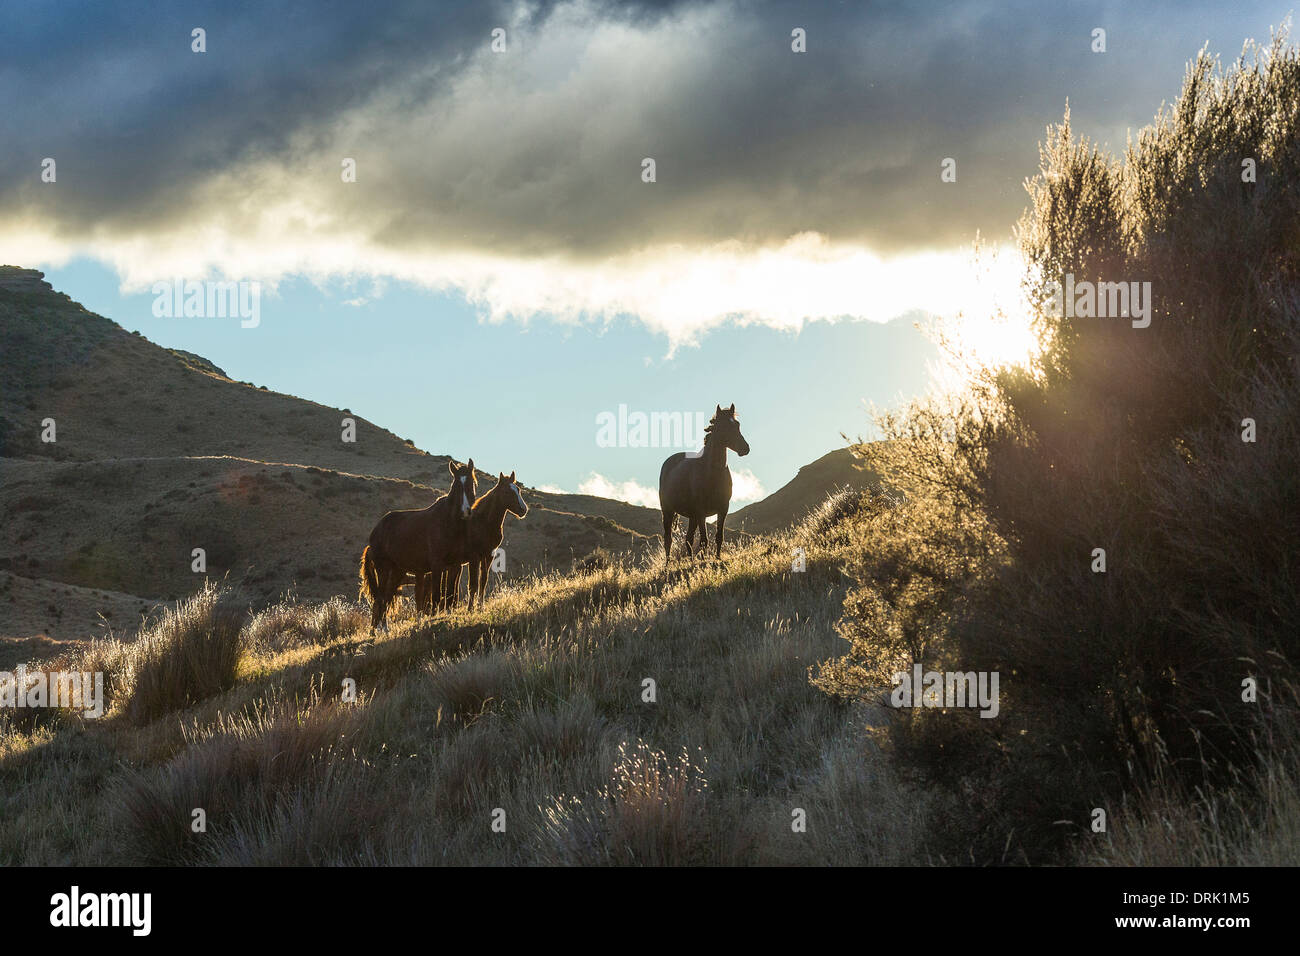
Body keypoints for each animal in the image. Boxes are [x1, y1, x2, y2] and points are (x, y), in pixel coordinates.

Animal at [358, 459, 476, 631]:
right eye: (456, 487)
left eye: (471, 484)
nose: (466, 511)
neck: (448, 523)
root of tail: (376, 530)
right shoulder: (437, 566)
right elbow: (437, 596)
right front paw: (433, 619)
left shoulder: (455, 565)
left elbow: (450, 594)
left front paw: (448, 616)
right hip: (383, 570)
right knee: (380, 599)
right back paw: (380, 630)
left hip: (397, 572)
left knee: (386, 597)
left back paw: (384, 629)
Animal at [659, 404, 750, 562]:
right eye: (723, 426)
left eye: (737, 424)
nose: (745, 448)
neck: (712, 472)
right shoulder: (702, 512)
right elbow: (704, 540)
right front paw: (704, 561)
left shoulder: (723, 509)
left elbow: (719, 537)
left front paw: (717, 558)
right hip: (668, 511)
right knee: (668, 540)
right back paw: (668, 564)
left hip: (692, 516)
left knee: (688, 539)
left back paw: (691, 561)